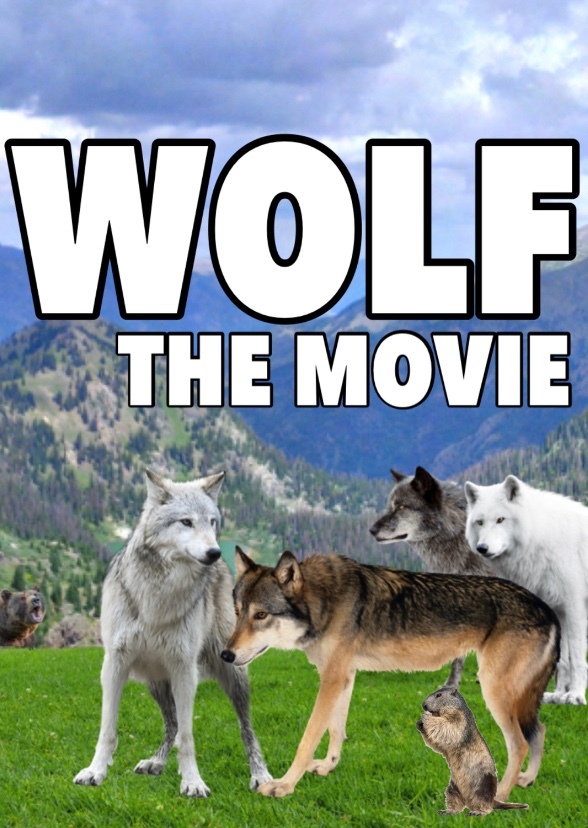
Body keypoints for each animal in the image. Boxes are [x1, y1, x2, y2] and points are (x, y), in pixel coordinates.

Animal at [74, 470, 270, 797]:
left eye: (212, 522)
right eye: (186, 522)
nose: (214, 552)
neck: (159, 596)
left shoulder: (184, 668)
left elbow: (189, 737)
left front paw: (192, 782)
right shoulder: (115, 664)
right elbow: (108, 730)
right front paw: (95, 771)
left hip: (231, 675)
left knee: (246, 728)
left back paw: (261, 775)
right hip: (155, 681)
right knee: (172, 723)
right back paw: (156, 763)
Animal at [221, 547, 559, 802]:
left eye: (261, 615)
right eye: (237, 612)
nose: (225, 655)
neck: (324, 600)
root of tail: (548, 609)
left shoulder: (331, 678)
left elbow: (308, 738)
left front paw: (284, 785)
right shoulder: (343, 676)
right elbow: (335, 729)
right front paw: (329, 767)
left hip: (494, 691)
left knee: (520, 743)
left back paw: (498, 797)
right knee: (540, 730)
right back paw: (527, 779)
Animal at [465, 474, 588, 706]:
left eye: (501, 519)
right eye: (480, 522)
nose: (482, 548)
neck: (539, 538)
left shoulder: (574, 609)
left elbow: (576, 658)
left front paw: (575, 695)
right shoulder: (557, 610)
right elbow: (562, 661)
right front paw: (559, 695)